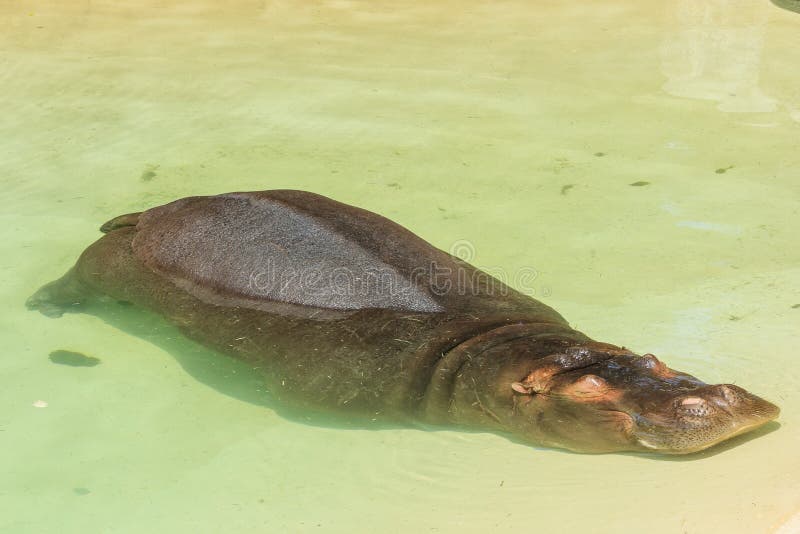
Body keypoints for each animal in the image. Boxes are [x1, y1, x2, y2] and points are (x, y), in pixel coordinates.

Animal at [27, 190, 779, 454]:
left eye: (654, 360)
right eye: (588, 394)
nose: (714, 400)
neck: (491, 352)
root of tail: (153, 212)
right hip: (111, 268)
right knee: (80, 276)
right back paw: (44, 307)